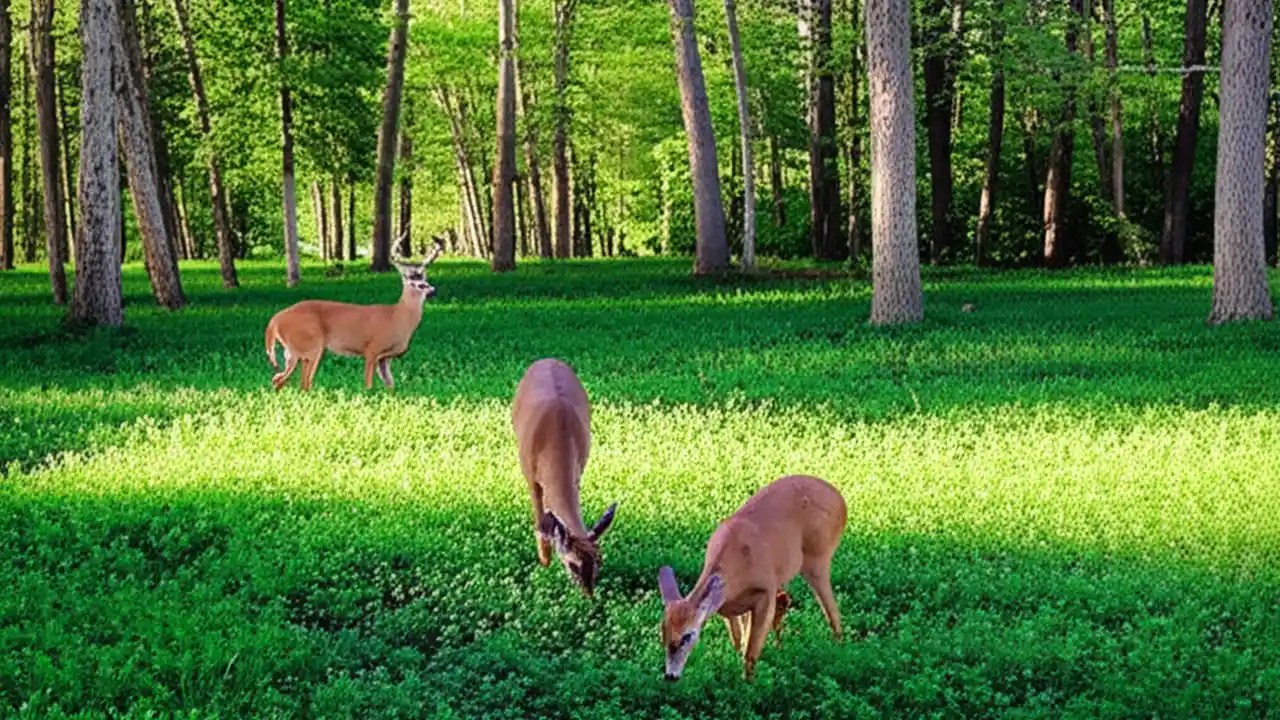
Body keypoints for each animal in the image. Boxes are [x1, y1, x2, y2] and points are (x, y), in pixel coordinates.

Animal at [264, 237, 443, 392]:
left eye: (426, 281)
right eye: (417, 284)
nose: (433, 290)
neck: (397, 316)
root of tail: (275, 321)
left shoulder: (386, 358)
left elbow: (390, 385)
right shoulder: (372, 349)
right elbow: (368, 384)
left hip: (297, 351)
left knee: (283, 379)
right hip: (309, 345)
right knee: (294, 381)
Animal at [512, 358, 618, 597]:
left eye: (600, 560)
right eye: (572, 564)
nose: (588, 594)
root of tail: (547, 359)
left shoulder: (578, 471)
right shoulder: (530, 476)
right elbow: (540, 519)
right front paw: (545, 561)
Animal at [657, 474, 847, 681]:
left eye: (687, 636)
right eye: (663, 634)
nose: (670, 676)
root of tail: (842, 502)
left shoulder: (766, 590)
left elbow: (751, 650)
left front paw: (748, 682)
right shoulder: (733, 606)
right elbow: (738, 639)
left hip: (818, 557)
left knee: (832, 612)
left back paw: (838, 650)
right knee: (785, 601)